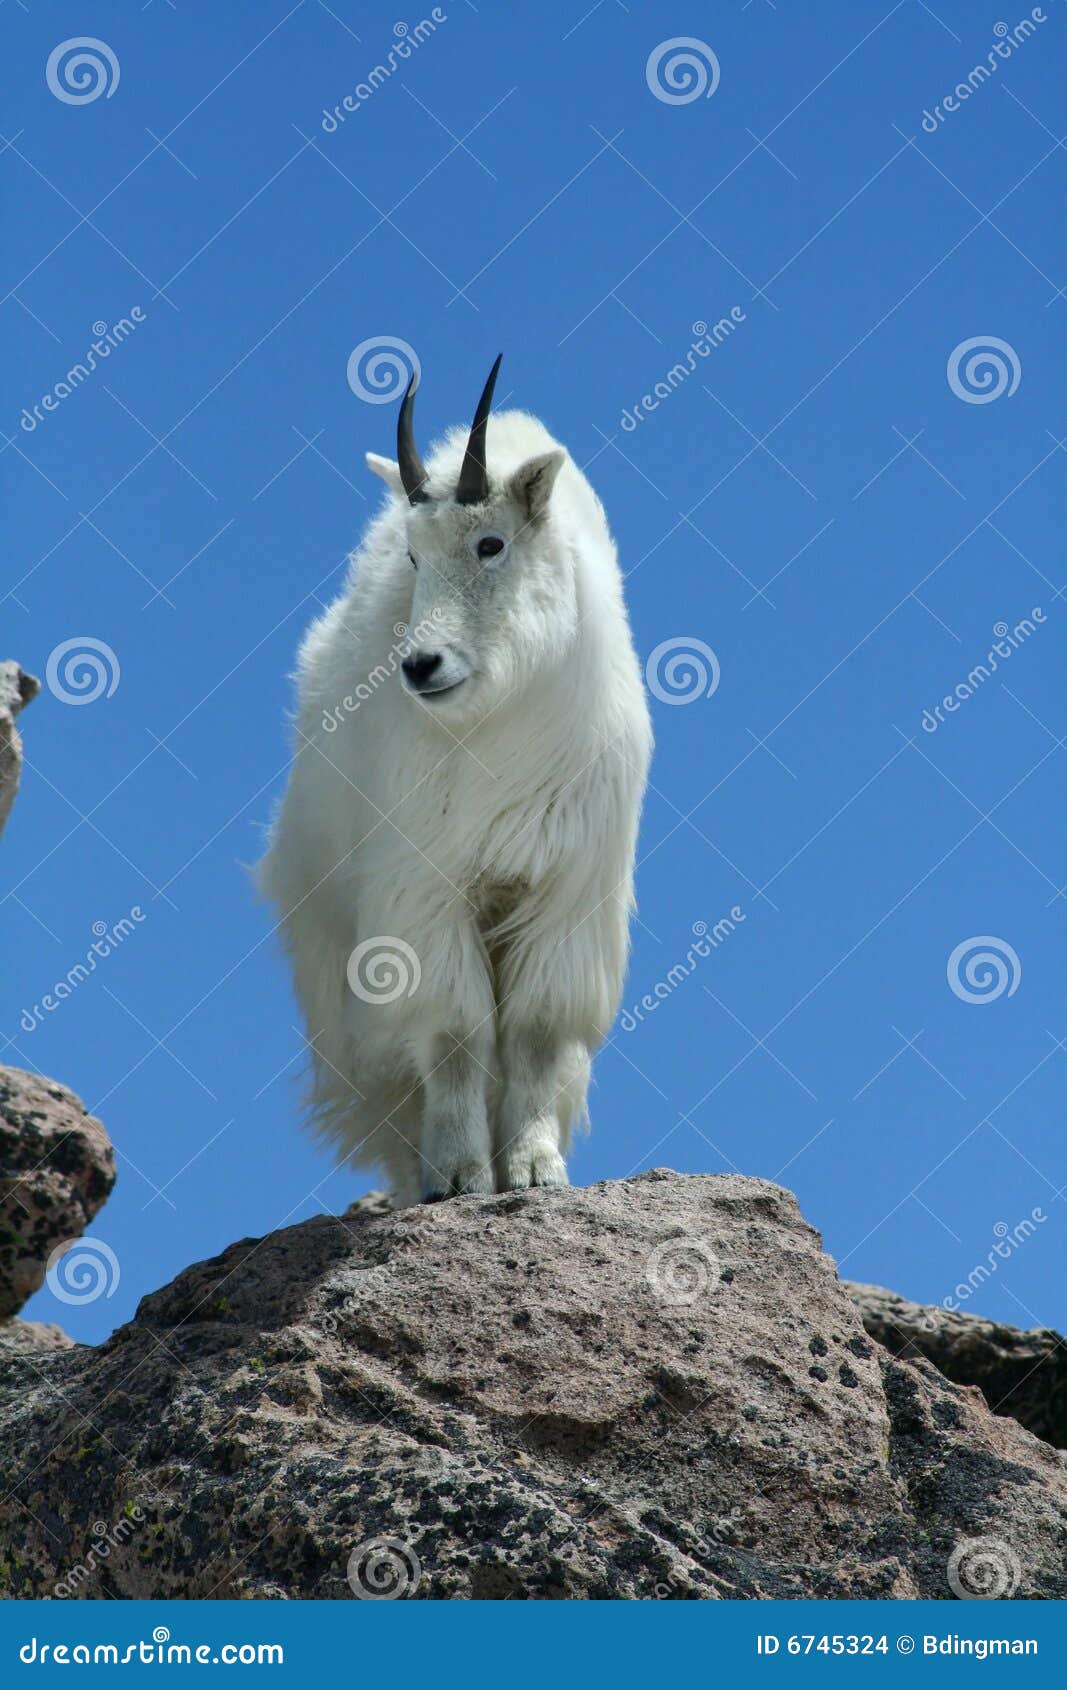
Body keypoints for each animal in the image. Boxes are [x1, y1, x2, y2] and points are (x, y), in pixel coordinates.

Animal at [258, 357, 651, 1206]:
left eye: (490, 543)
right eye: (412, 558)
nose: (421, 666)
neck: (497, 722)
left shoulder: (560, 891)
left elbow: (534, 1030)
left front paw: (533, 1169)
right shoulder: (427, 887)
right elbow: (454, 1032)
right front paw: (463, 1174)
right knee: (395, 1089)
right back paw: (415, 1180)